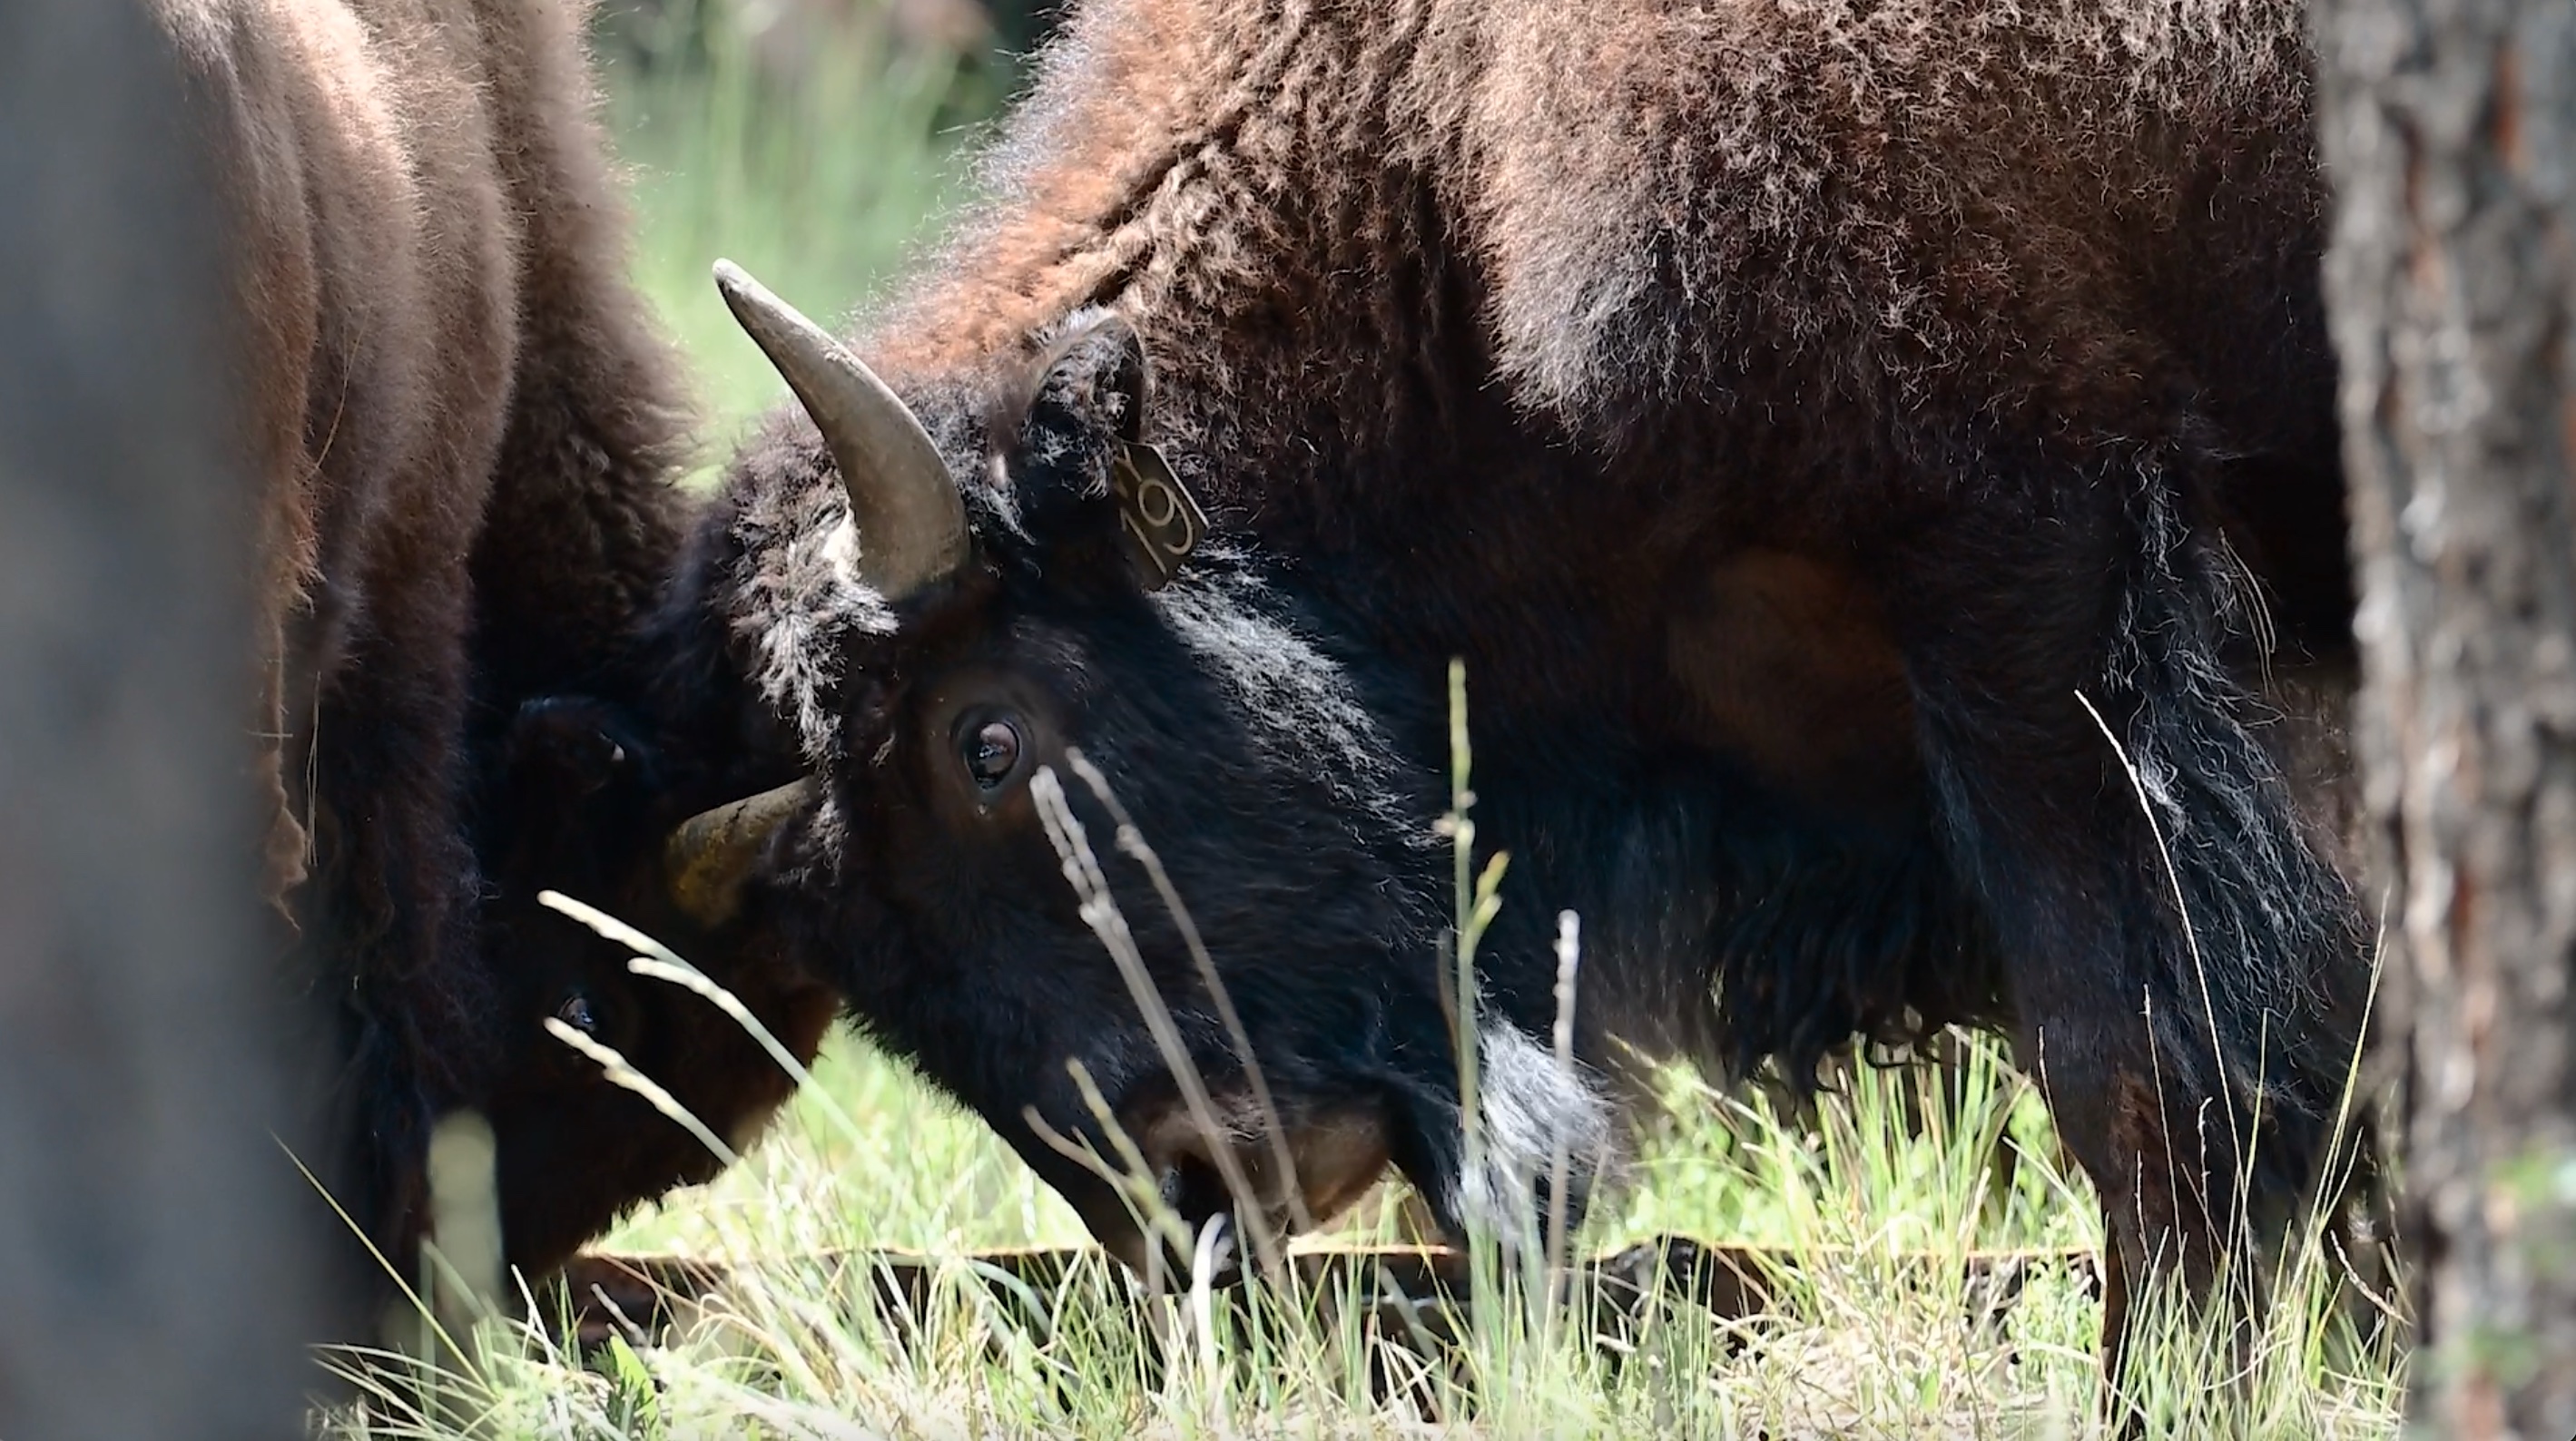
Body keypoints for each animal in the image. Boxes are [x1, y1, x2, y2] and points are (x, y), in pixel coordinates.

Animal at [598, 0, 2371, 1366]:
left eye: (985, 740)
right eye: (845, 928)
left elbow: (2134, 1056)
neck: (1441, 167)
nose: (1202, 1180)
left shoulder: (2031, 576)